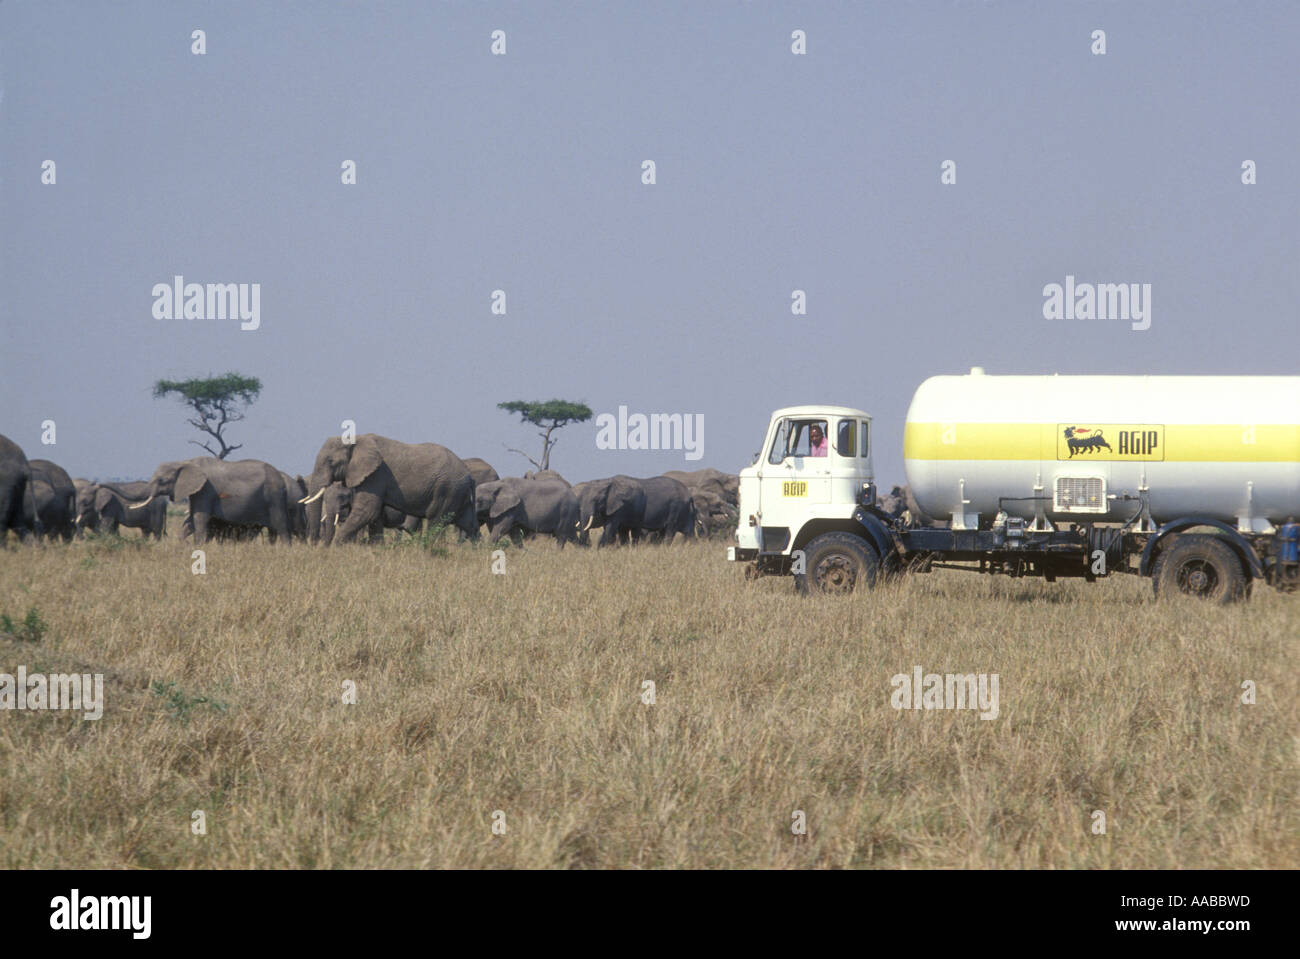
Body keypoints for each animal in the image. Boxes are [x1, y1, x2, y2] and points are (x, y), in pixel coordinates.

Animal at [133, 457, 290, 545]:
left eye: (161, 480)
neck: (186, 463)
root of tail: (281, 478)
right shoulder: (197, 492)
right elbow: (190, 521)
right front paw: (183, 546)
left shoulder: (206, 490)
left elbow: (199, 517)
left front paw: (198, 547)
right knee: (273, 530)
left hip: (274, 497)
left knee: (280, 526)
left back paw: (285, 549)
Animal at [301, 434, 478, 544]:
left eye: (331, 462)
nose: (314, 544)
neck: (357, 439)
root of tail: (469, 475)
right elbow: (374, 516)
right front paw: (376, 549)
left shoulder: (376, 474)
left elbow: (367, 511)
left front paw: (336, 549)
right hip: (457, 492)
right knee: (468, 523)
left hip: (447, 489)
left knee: (436, 520)